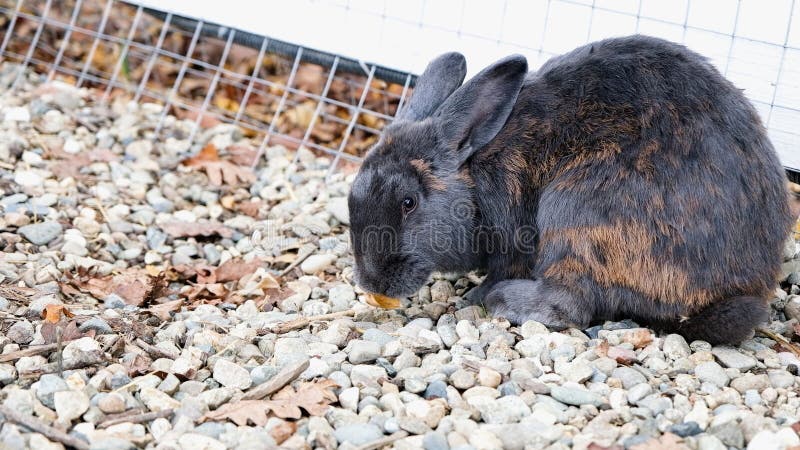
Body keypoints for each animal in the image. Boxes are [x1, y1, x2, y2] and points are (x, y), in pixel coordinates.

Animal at [347, 35, 794, 345]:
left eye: (408, 202)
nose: (371, 284)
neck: (472, 175)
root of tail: (741, 288)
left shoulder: (513, 238)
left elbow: (506, 269)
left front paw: (478, 297)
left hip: (574, 212)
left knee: (572, 303)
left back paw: (503, 301)